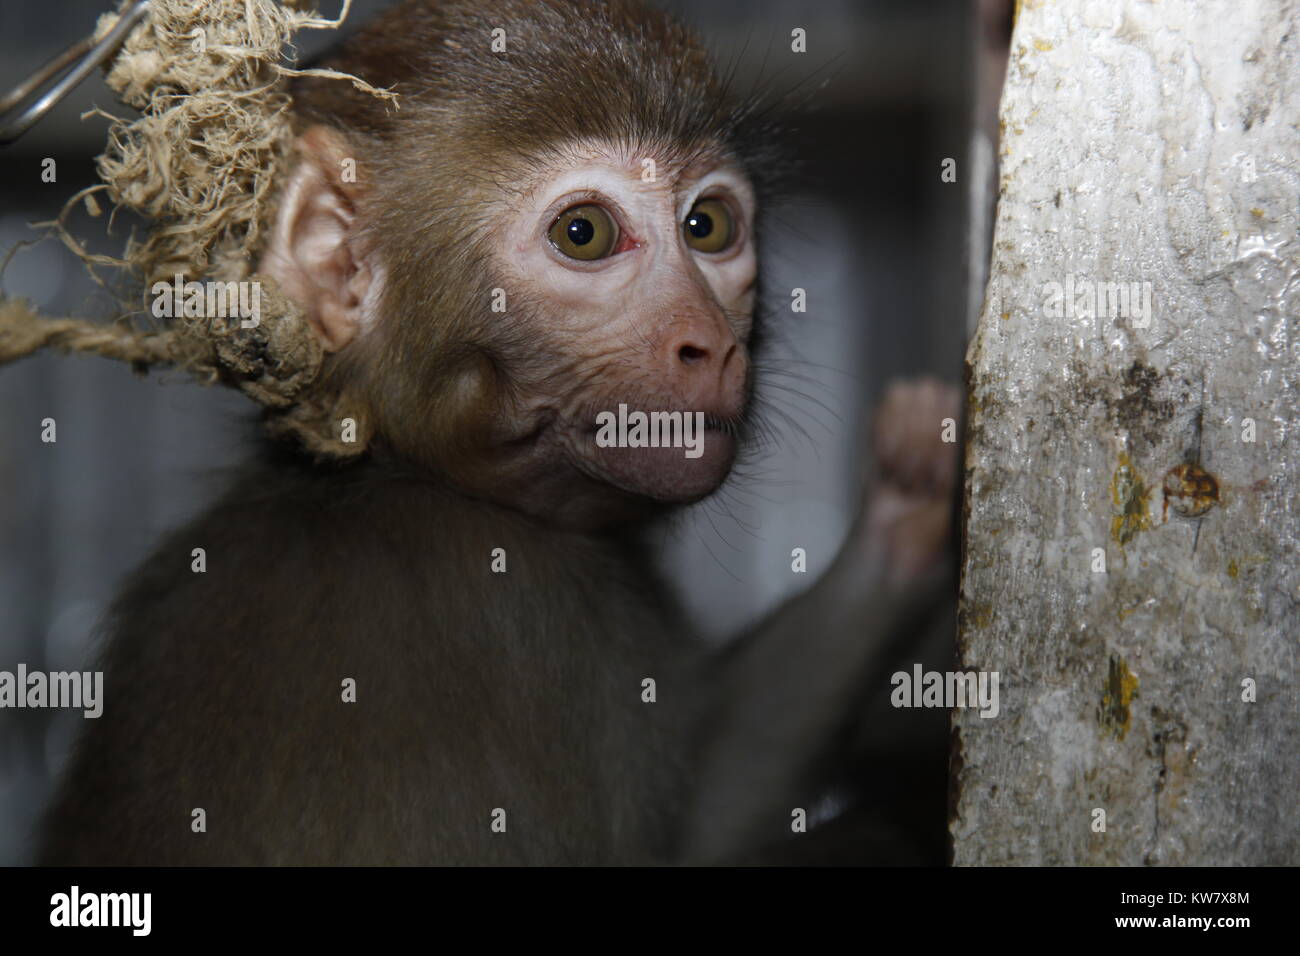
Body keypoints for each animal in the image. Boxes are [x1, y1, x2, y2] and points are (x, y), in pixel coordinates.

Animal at [35, 0, 961, 868]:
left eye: (709, 227)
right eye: (583, 233)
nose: (710, 343)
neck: (405, 477)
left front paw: (913, 501)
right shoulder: (487, 610)